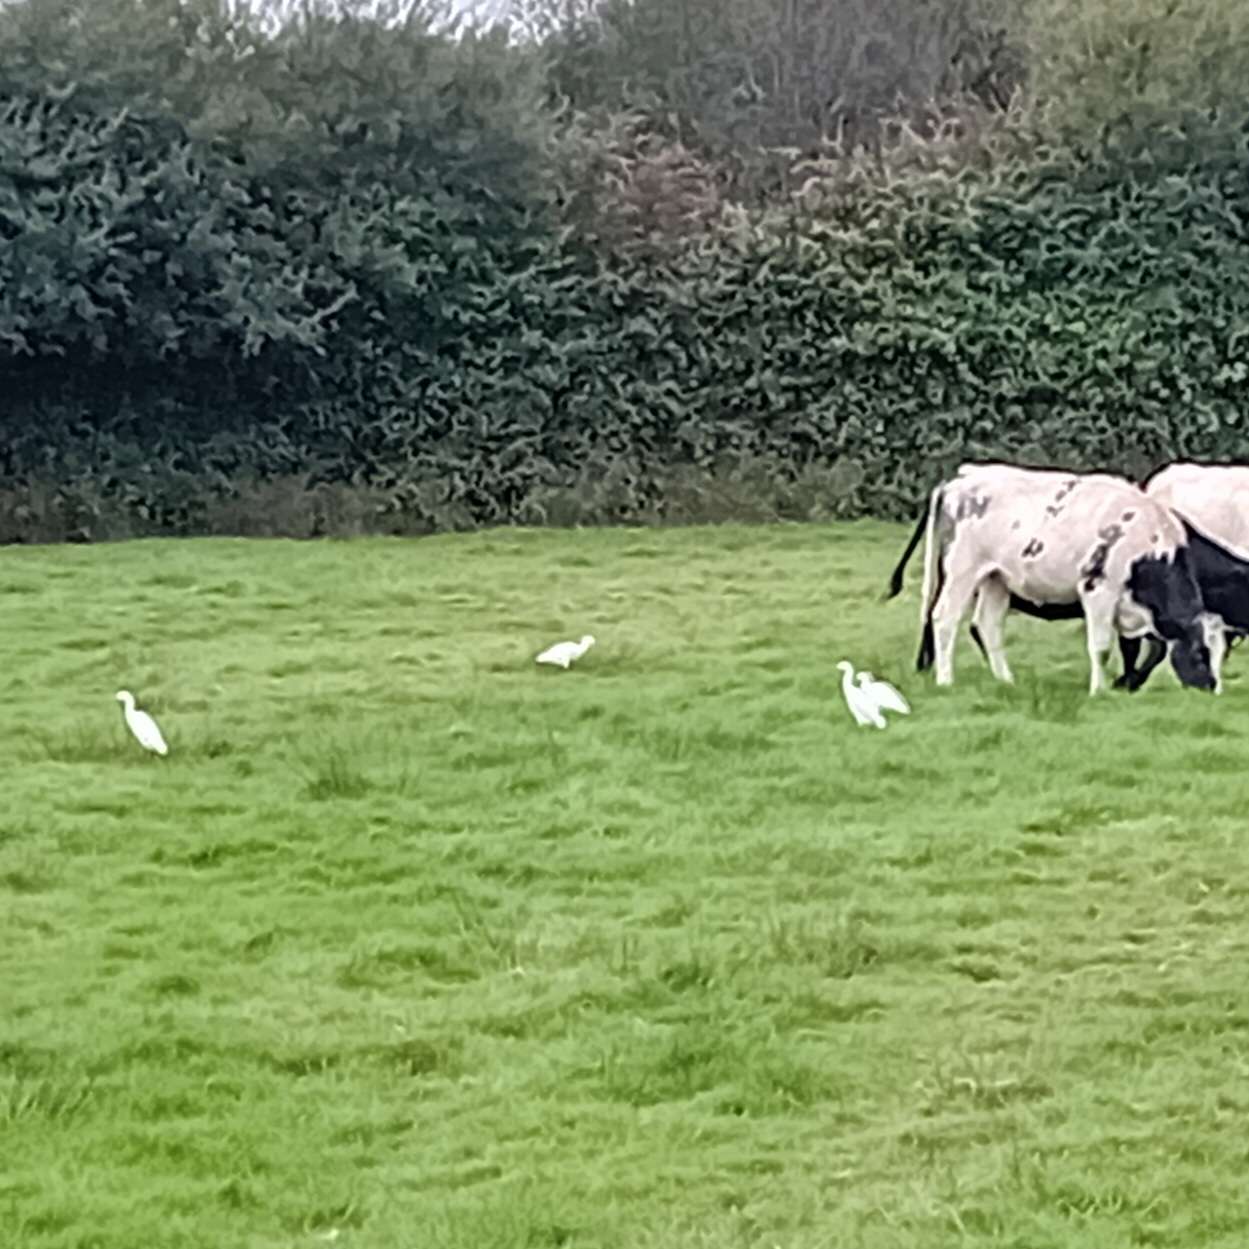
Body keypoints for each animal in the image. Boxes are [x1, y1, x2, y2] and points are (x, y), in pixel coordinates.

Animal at [886, 462, 1217, 694]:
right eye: (1201, 654)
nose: (1211, 689)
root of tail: (959, 481)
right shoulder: (1098, 590)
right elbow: (1101, 647)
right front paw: (1099, 690)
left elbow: (1150, 649)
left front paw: (1126, 682)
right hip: (962, 571)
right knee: (944, 619)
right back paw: (946, 680)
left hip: (995, 578)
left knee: (987, 625)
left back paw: (1006, 680)